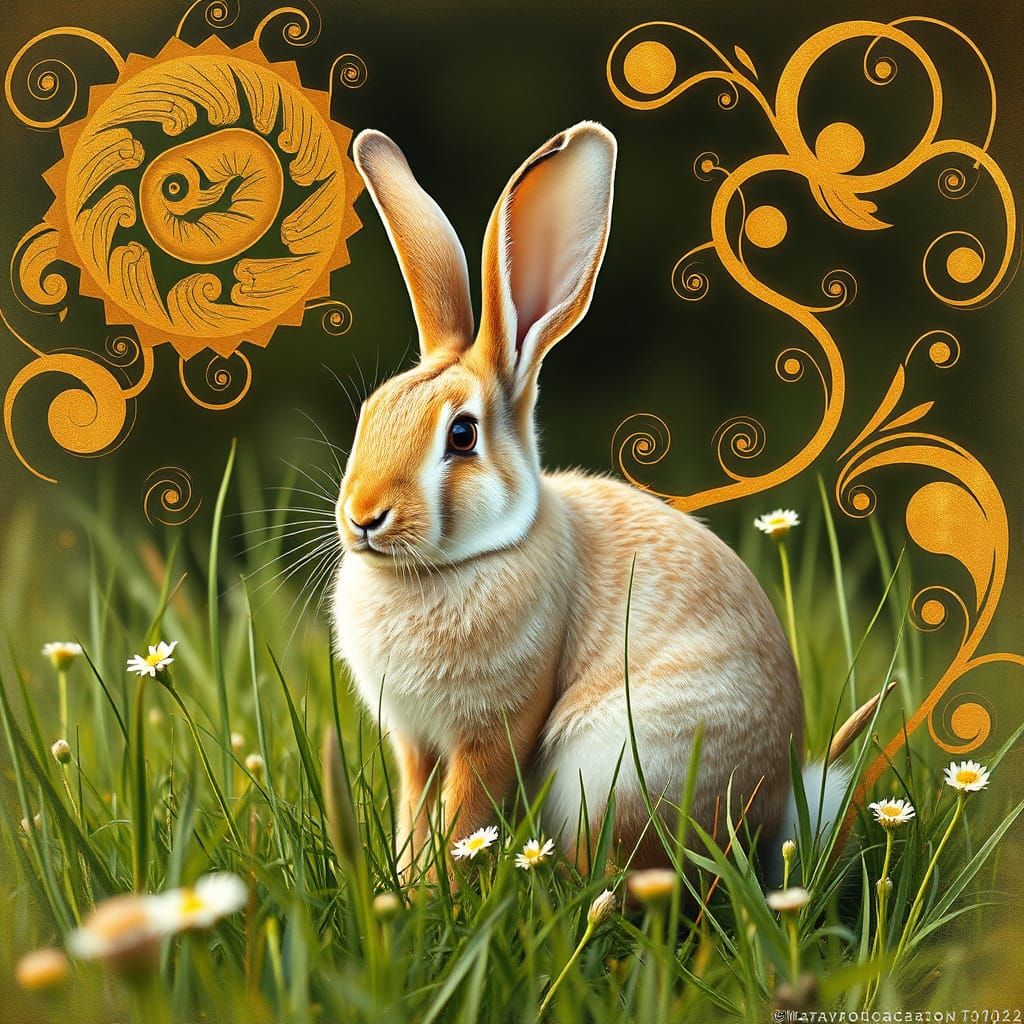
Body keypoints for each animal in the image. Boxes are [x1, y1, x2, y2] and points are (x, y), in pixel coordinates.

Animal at [332, 121, 837, 879]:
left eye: (461, 435)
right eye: (369, 414)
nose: (363, 518)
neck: (453, 565)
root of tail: (765, 817)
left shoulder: (492, 734)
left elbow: (465, 815)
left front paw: (438, 886)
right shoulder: (415, 743)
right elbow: (416, 811)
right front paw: (408, 881)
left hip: (608, 773)